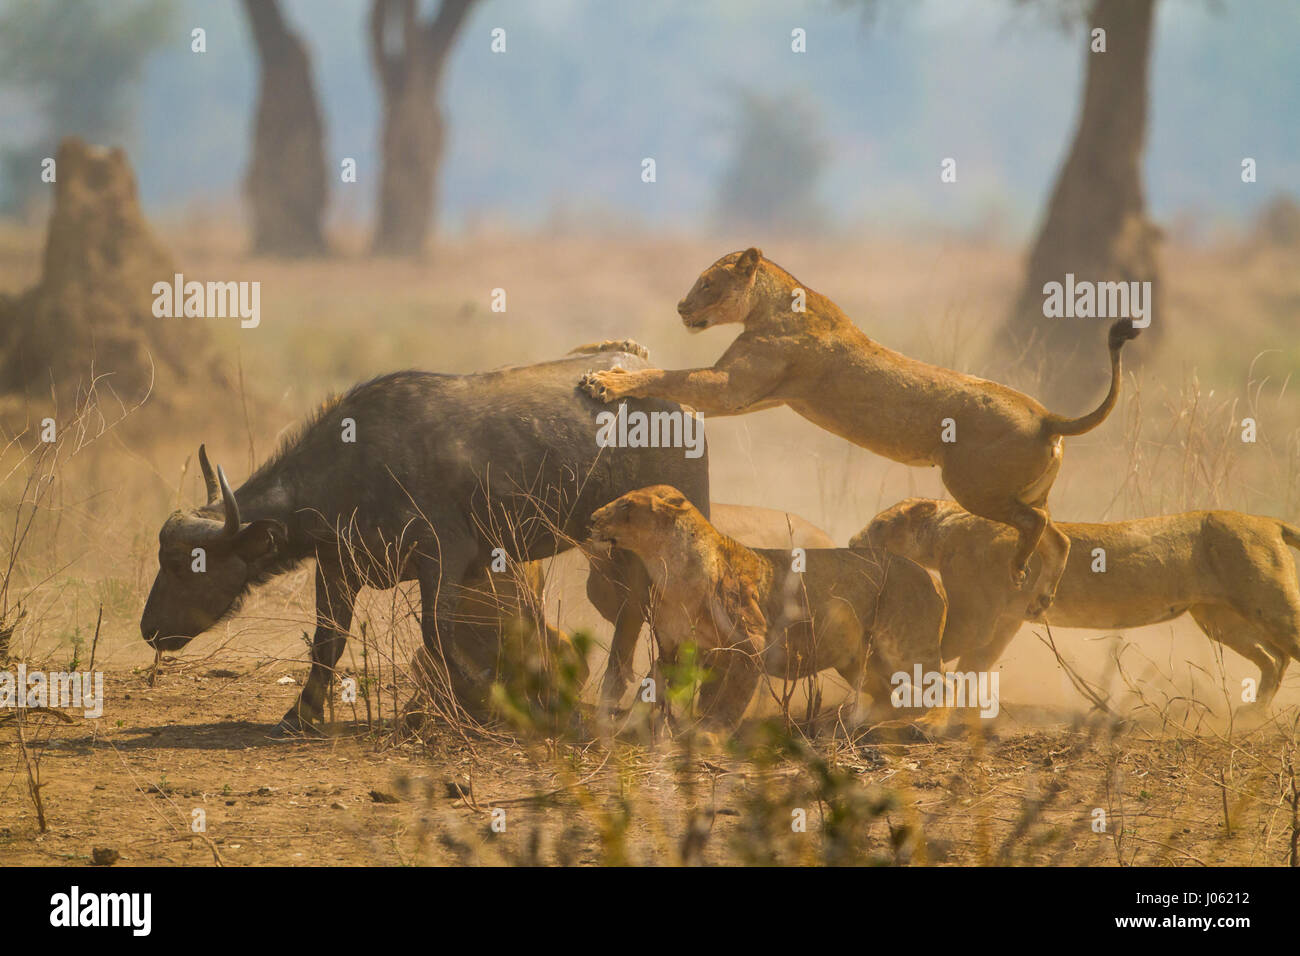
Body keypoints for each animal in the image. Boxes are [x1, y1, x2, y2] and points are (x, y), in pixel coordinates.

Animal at [578, 248, 1140, 617]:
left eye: (708, 283)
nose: (680, 307)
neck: (772, 301)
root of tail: (1048, 415)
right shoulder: (750, 395)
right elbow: (669, 375)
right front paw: (604, 347)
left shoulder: (730, 386)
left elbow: (668, 375)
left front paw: (608, 381)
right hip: (1024, 491)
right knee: (1059, 536)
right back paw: (1041, 594)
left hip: (973, 485)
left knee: (1035, 525)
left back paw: (1020, 569)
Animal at [588, 485, 947, 730]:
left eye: (626, 504)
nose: (591, 518)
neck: (668, 567)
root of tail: (928, 572)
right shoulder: (673, 649)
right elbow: (650, 688)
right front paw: (627, 724)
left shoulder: (750, 643)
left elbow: (726, 698)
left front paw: (710, 732)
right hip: (857, 658)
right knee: (886, 690)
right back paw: (867, 721)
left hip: (909, 648)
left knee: (944, 683)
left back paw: (931, 723)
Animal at [854, 497, 1300, 709]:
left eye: (879, 524)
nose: (853, 541)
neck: (945, 530)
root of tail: (1269, 521)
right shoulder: (1004, 621)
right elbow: (973, 668)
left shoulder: (974, 617)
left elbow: (940, 650)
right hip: (1220, 618)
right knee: (1273, 659)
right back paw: (1251, 715)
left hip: (1269, 604)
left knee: (1283, 651)